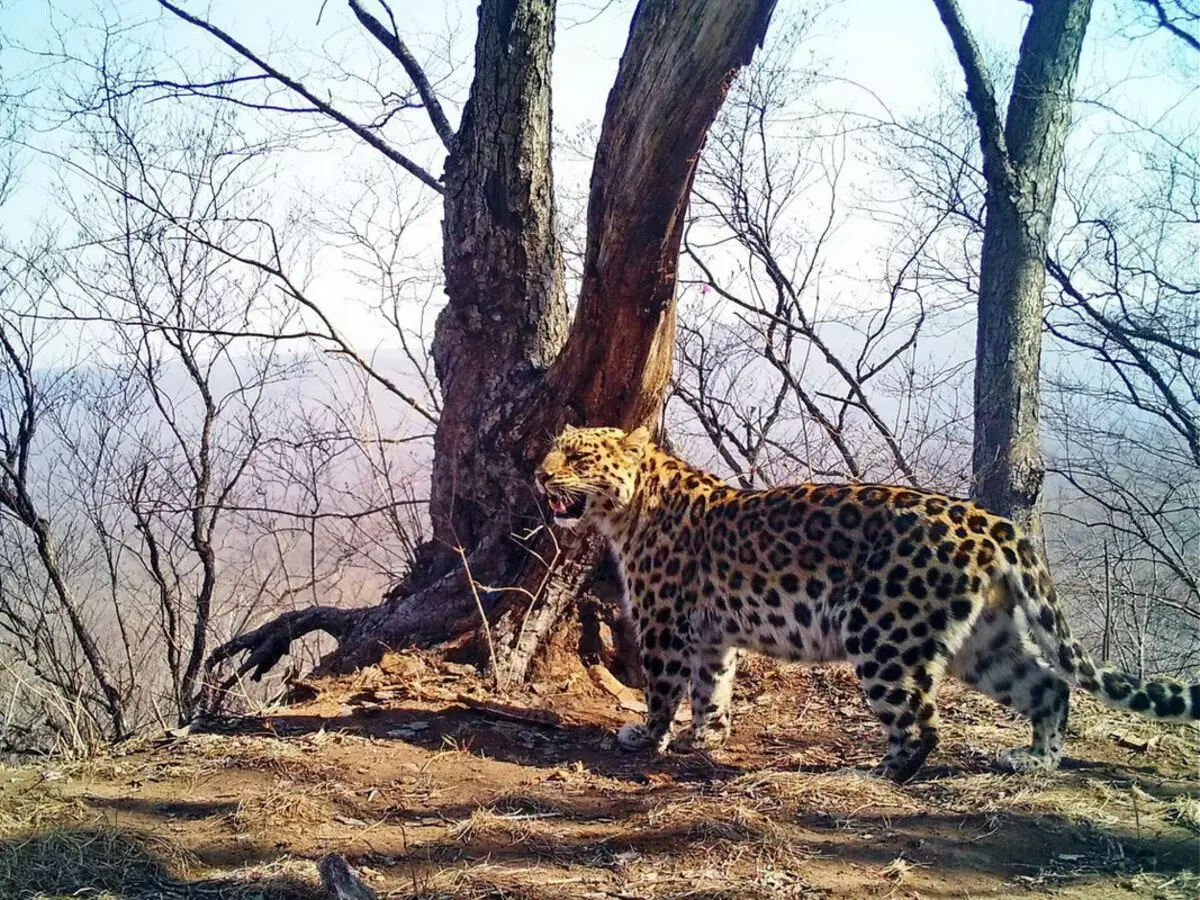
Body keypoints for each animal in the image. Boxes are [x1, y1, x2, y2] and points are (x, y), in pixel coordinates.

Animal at [535, 427, 1200, 787]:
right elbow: (711, 687)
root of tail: (989, 520)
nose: (539, 475)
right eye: (553, 451)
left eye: (579, 458)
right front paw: (708, 737)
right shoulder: (711, 635)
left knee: (922, 723)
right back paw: (1035, 760)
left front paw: (647, 739)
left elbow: (663, 689)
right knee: (1047, 686)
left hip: (884, 634)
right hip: (984, 642)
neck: (628, 509)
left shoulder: (664, 626)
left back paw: (875, 774)